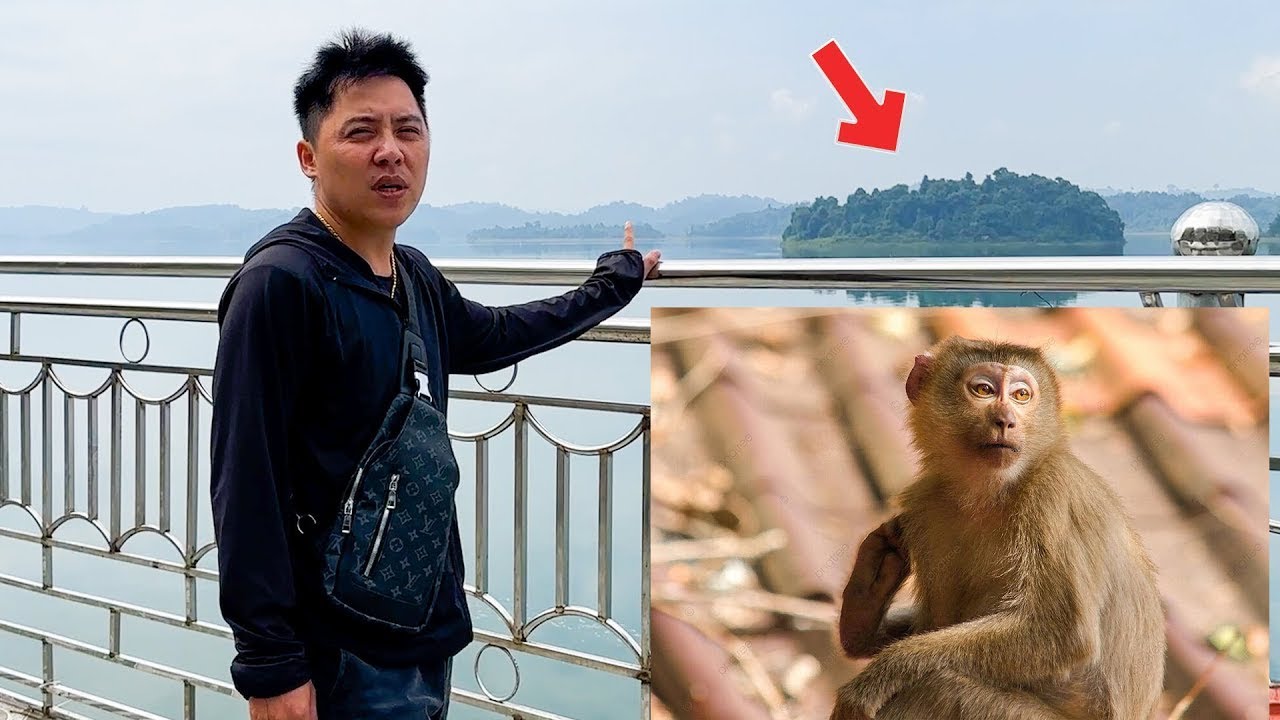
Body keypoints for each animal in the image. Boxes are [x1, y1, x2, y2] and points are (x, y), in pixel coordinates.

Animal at [828, 336, 1165, 720]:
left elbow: (1062, 635)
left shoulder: (1050, 494)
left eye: (1021, 395)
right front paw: (865, 604)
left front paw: (881, 675)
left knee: (939, 686)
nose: (1006, 420)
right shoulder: (927, 505)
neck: (992, 494)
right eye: (983, 390)